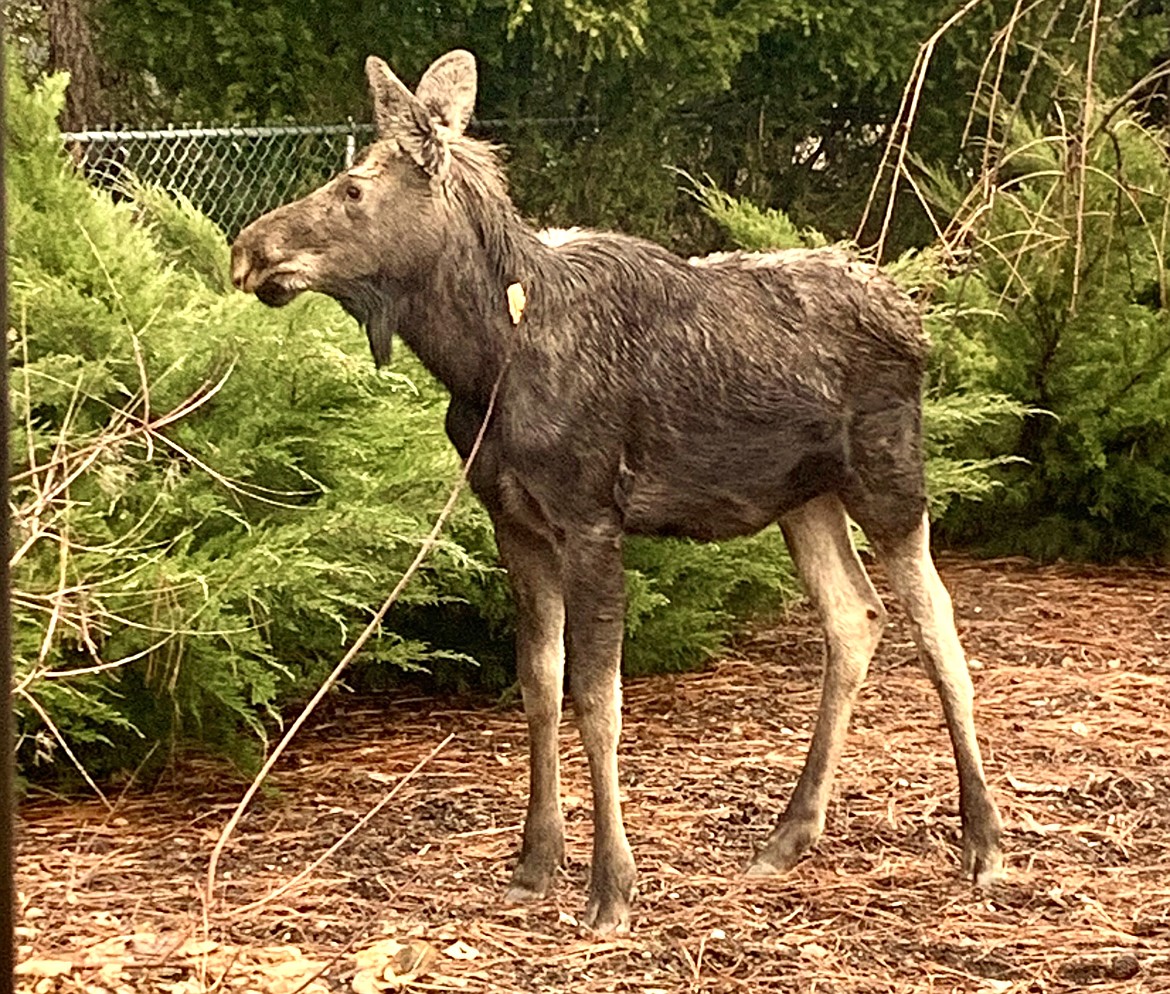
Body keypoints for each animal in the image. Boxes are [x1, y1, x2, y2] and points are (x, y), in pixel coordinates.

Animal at [230, 49, 1004, 934]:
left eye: (353, 188)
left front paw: (611, 886)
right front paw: (535, 862)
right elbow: (539, 684)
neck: (483, 363)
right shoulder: (515, 523)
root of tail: (918, 321)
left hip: (888, 476)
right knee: (855, 617)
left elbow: (598, 699)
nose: (249, 250)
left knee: (938, 625)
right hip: (804, 497)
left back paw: (983, 840)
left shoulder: (591, 518)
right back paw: (788, 833)